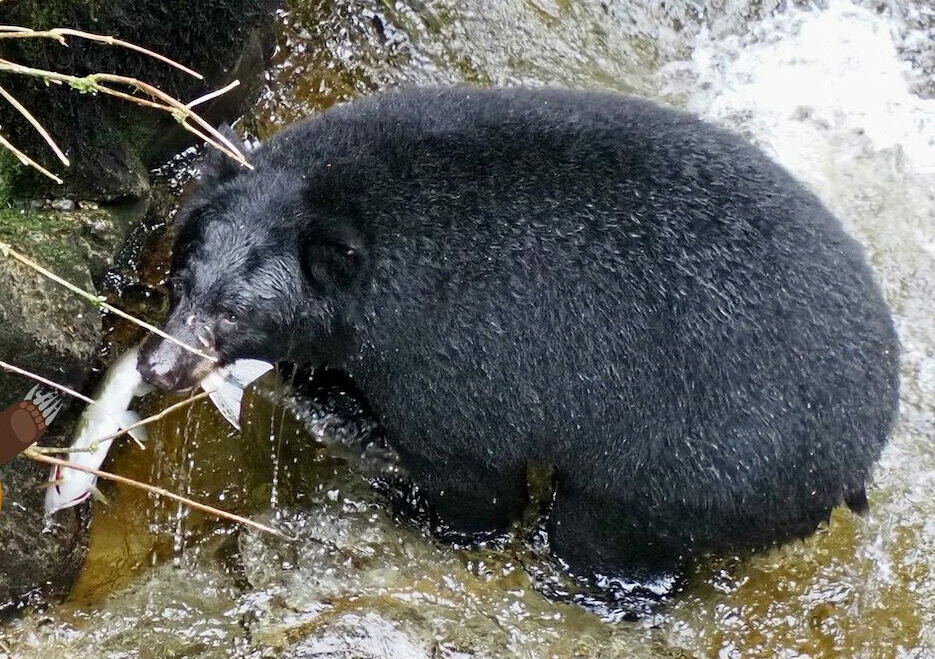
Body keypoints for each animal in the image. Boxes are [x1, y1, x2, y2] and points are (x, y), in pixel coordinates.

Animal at [138, 86, 900, 591]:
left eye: (232, 313)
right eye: (180, 283)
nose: (158, 366)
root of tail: (867, 438)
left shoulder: (447, 340)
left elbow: (469, 465)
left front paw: (417, 506)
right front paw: (325, 393)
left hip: (699, 461)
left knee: (602, 530)